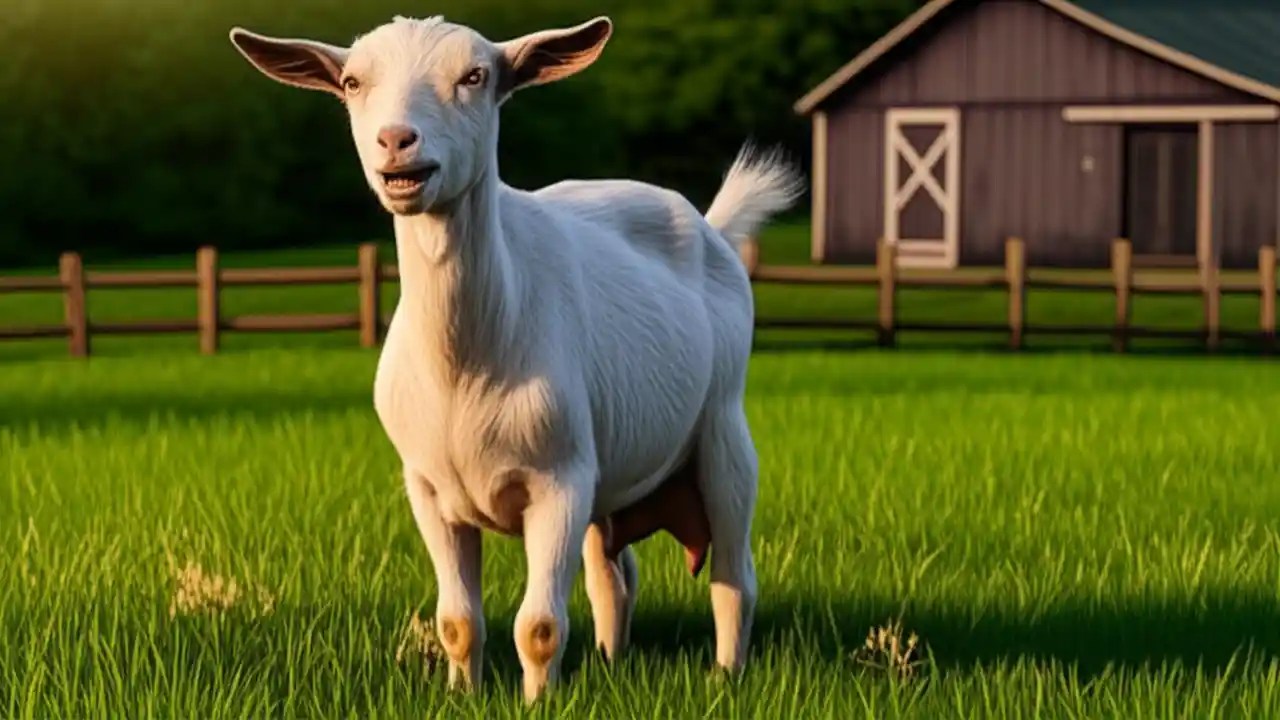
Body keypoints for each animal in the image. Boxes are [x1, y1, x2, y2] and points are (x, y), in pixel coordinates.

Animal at [229, 14, 800, 701]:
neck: (466, 360)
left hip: (721, 428)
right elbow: (456, 620)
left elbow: (540, 627)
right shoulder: (428, 487)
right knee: (613, 576)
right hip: (607, 468)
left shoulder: (559, 481)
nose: (397, 141)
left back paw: (726, 675)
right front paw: (463, 695)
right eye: (352, 82)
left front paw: (538, 702)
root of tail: (713, 225)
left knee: (734, 573)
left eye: (474, 76)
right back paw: (611, 660)